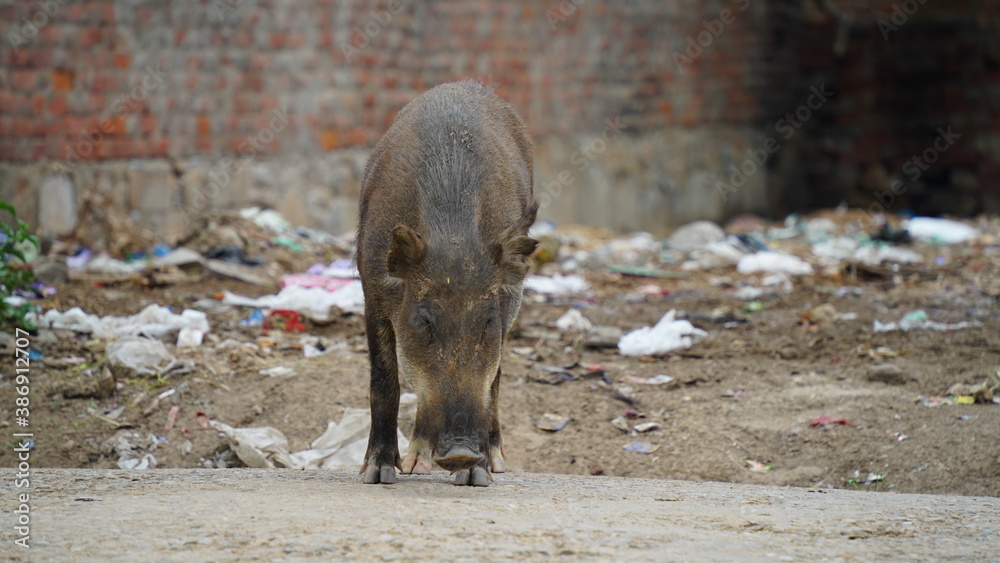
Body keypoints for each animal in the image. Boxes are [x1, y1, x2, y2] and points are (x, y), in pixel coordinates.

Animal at [356, 81, 538, 486]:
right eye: (424, 321)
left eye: (488, 321)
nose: (460, 452)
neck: (453, 239)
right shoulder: (371, 293)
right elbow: (384, 381)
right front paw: (377, 474)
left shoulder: (505, 309)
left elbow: (489, 380)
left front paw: (478, 478)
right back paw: (413, 467)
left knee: (496, 381)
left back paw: (494, 464)